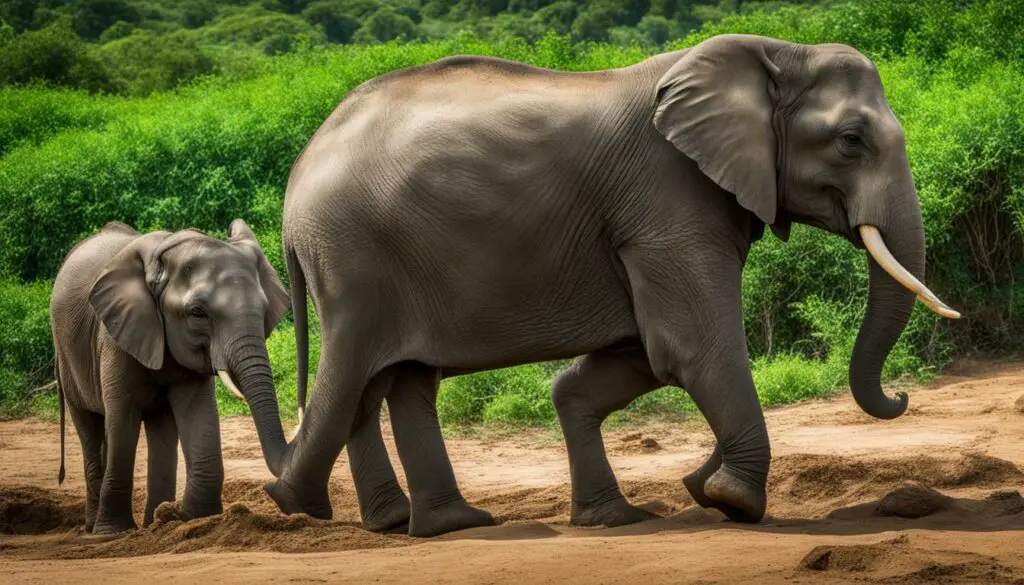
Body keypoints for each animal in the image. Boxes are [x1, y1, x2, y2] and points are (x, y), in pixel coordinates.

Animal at [50, 219, 289, 537]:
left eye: (263, 311)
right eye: (198, 313)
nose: (274, 488)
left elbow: (197, 412)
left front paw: (192, 517)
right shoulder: (115, 336)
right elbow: (122, 416)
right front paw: (113, 532)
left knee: (158, 427)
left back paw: (154, 521)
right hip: (68, 358)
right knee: (90, 426)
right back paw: (95, 527)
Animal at [238, 33, 960, 537]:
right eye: (850, 140)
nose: (899, 395)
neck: (772, 53)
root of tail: (298, 178)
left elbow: (638, 350)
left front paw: (649, 505)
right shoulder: (667, 199)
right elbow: (688, 347)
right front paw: (731, 501)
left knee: (400, 380)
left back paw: (441, 525)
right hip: (357, 257)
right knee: (353, 373)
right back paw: (300, 505)